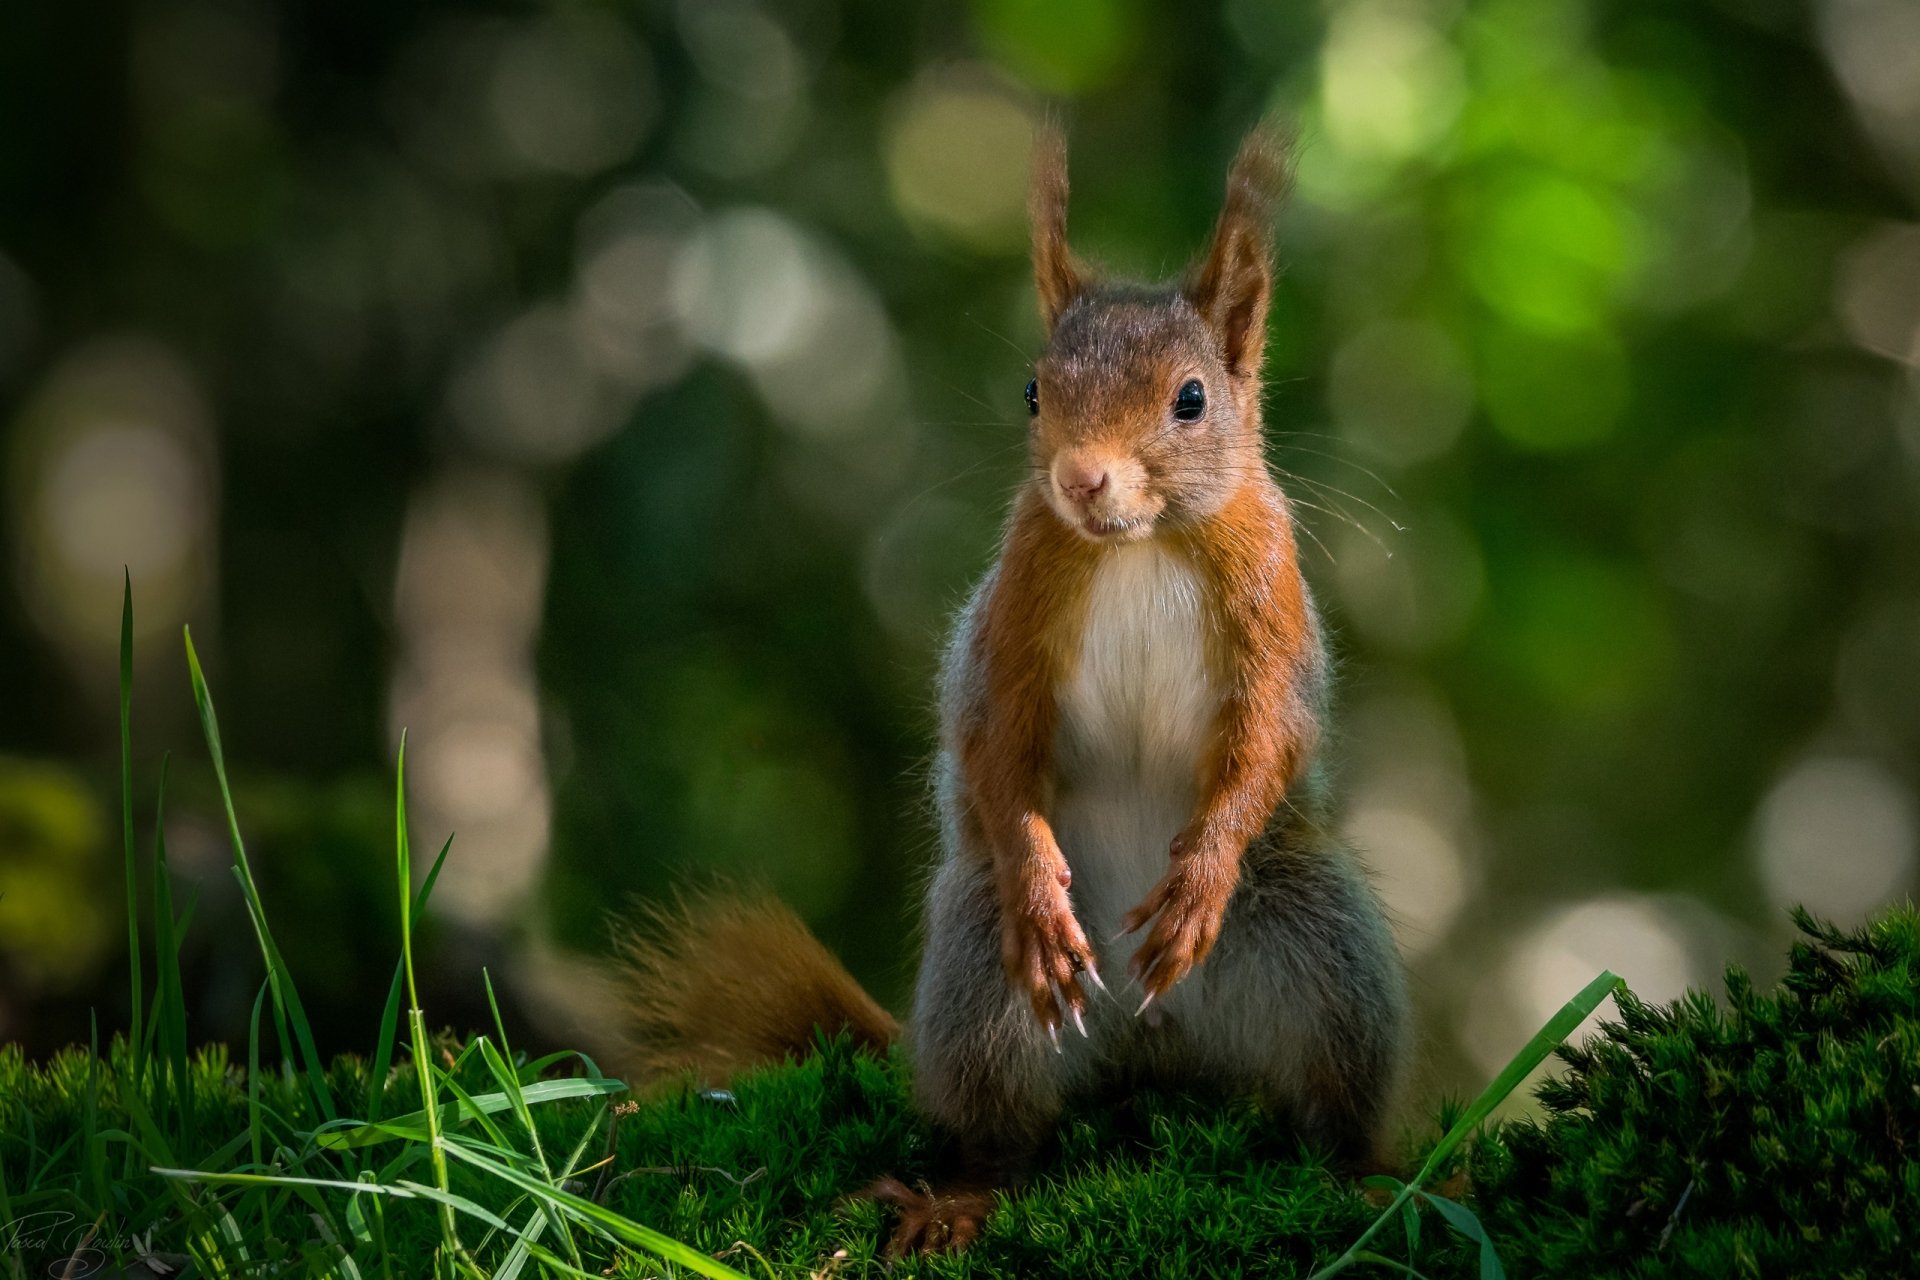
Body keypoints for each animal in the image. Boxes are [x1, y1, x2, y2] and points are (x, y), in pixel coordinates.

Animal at [607, 123, 1410, 1257]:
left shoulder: (1271, 613)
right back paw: (959, 1199)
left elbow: (1268, 740)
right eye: (1035, 392)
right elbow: (991, 740)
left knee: (1327, 1110)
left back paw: (1367, 1180)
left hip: (1329, 959)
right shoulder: (1014, 624)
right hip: (981, 992)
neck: (1138, 546)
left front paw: (1200, 877)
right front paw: (1041, 889)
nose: (1081, 477)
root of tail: (1148, 1049)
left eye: (1192, 398)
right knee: (1004, 1134)